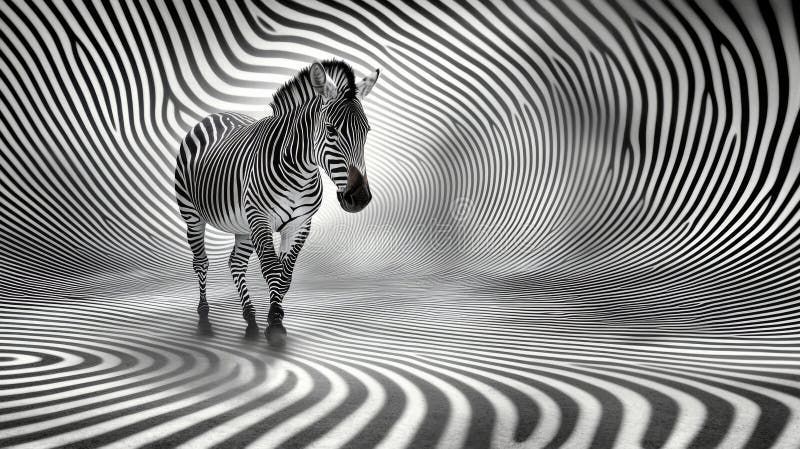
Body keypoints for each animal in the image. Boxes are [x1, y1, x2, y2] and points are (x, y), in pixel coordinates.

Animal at [174, 60, 380, 345]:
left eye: (367, 131)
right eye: (331, 130)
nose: (359, 198)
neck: (300, 171)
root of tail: (214, 115)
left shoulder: (300, 225)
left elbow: (285, 276)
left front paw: (276, 317)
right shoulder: (260, 219)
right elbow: (271, 269)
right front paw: (273, 326)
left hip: (243, 224)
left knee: (235, 263)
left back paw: (249, 317)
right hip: (193, 216)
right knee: (201, 262)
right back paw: (204, 315)